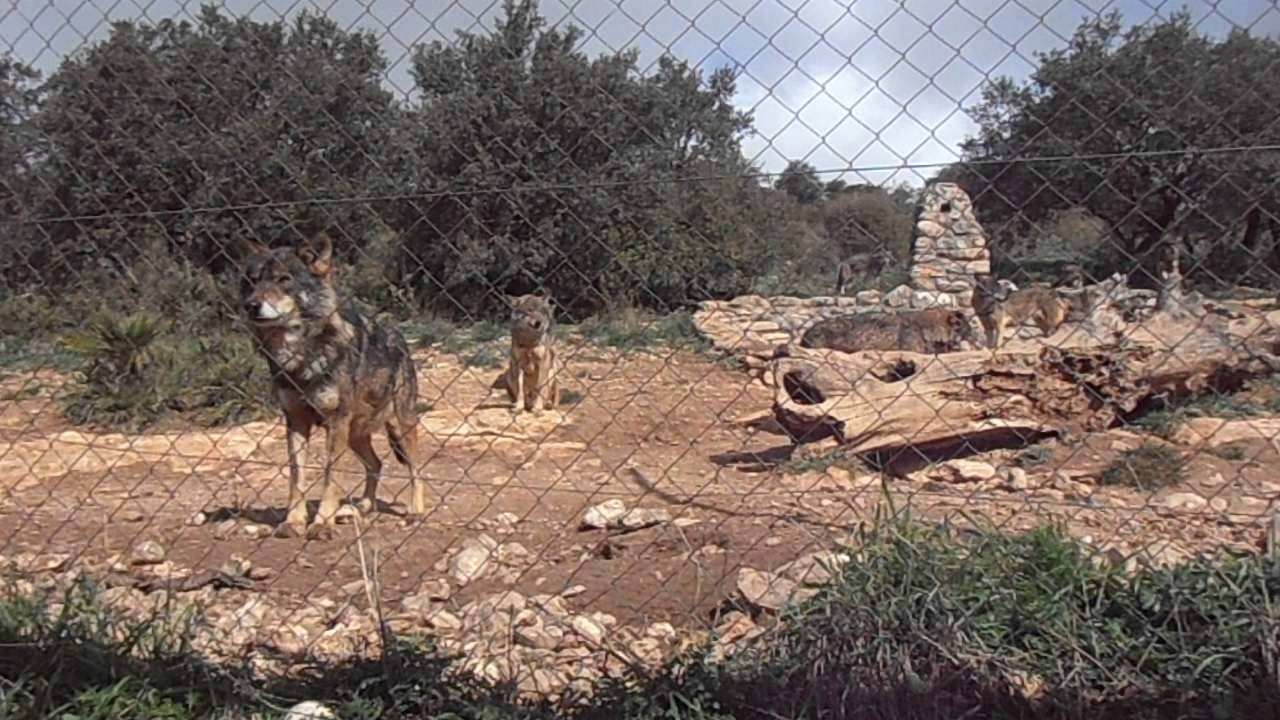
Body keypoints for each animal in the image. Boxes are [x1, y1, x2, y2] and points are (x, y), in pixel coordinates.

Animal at [238, 233, 426, 540]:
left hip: (399, 427)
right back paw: (363, 508)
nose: (251, 305)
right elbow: (296, 476)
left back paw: (415, 512)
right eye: (252, 281)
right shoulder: (296, 421)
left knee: (415, 468)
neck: (301, 354)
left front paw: (321, 523)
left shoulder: (336, 422)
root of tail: (399, 337)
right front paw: (293, 522)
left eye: (284, 279)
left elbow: (330, 474)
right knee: (376, 464)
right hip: (355, 434)